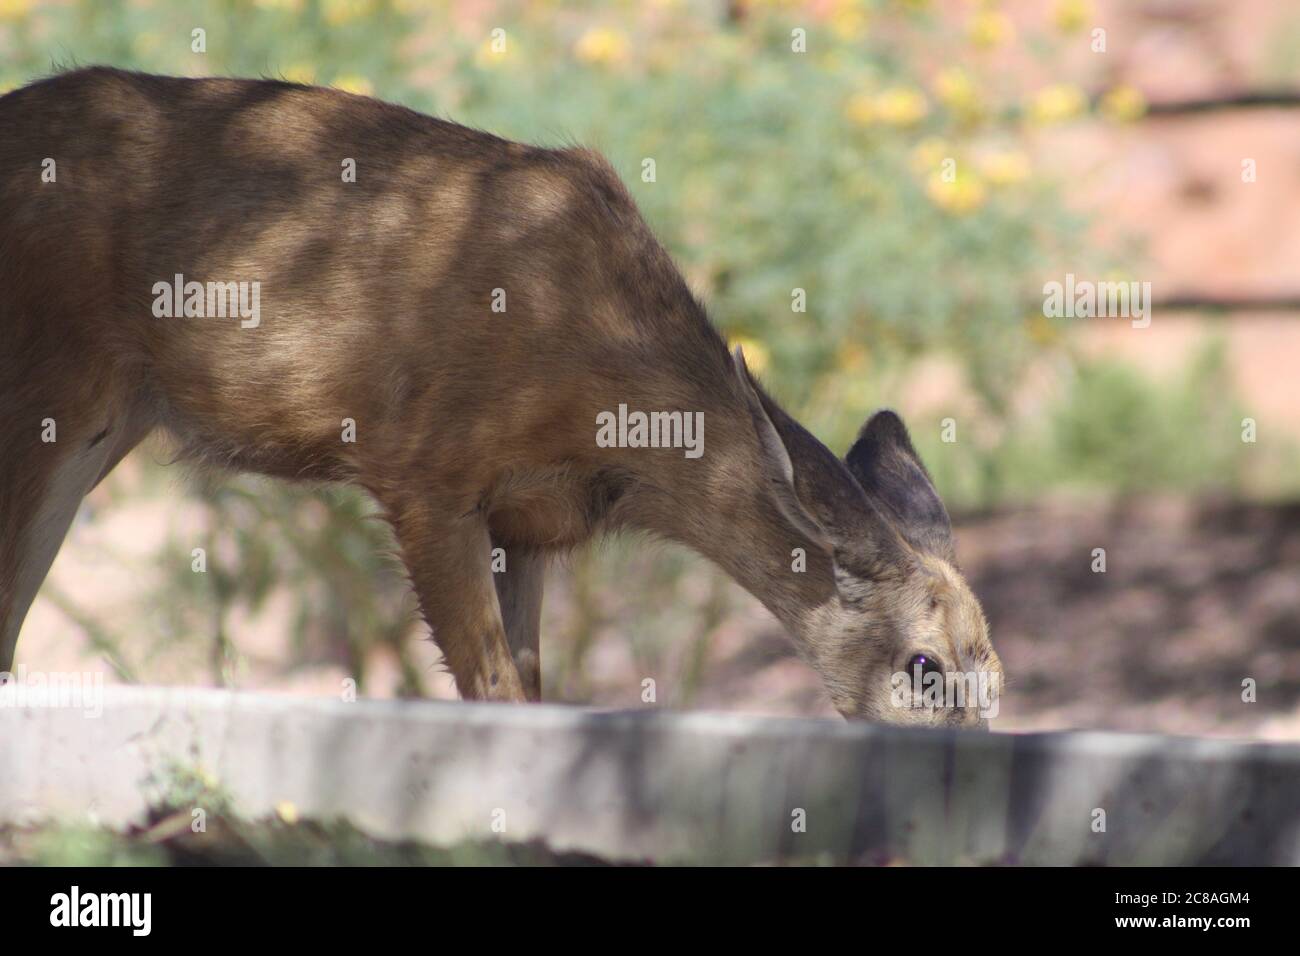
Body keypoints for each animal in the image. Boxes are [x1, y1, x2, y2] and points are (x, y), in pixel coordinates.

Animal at [0, 68, 1002, 726]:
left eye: (996, 679)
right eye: (924, 666)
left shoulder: (528, 524)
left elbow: (531, 692)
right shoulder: (423, 469)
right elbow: (493, 695)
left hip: (109, 419)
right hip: (51, 379)